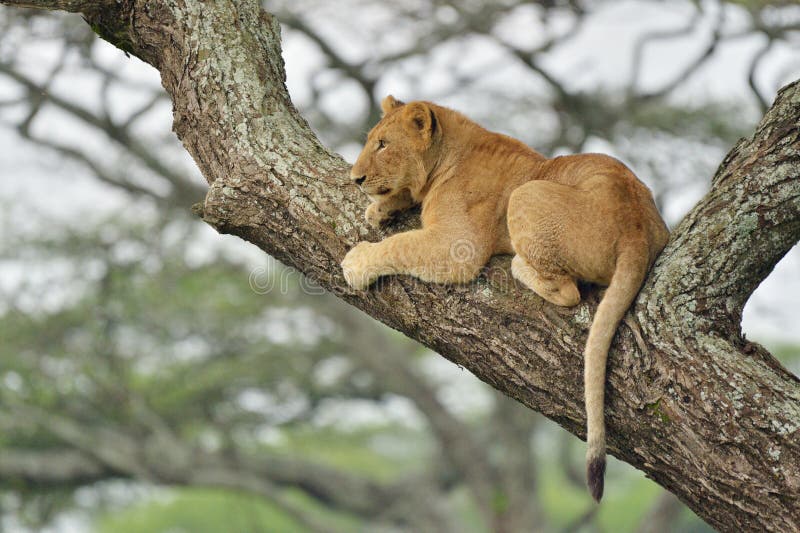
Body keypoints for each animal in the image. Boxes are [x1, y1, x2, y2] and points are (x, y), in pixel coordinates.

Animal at [341, 95, 670, 501]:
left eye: (383, 145)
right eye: (372, 141)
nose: (355, 179)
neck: (446, 157)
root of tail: (636, 230)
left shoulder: (457, 245)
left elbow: (400, 244)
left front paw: (357, 262)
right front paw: (381, 209)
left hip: (526, 193)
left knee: (568, 291)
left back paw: (519, 266)